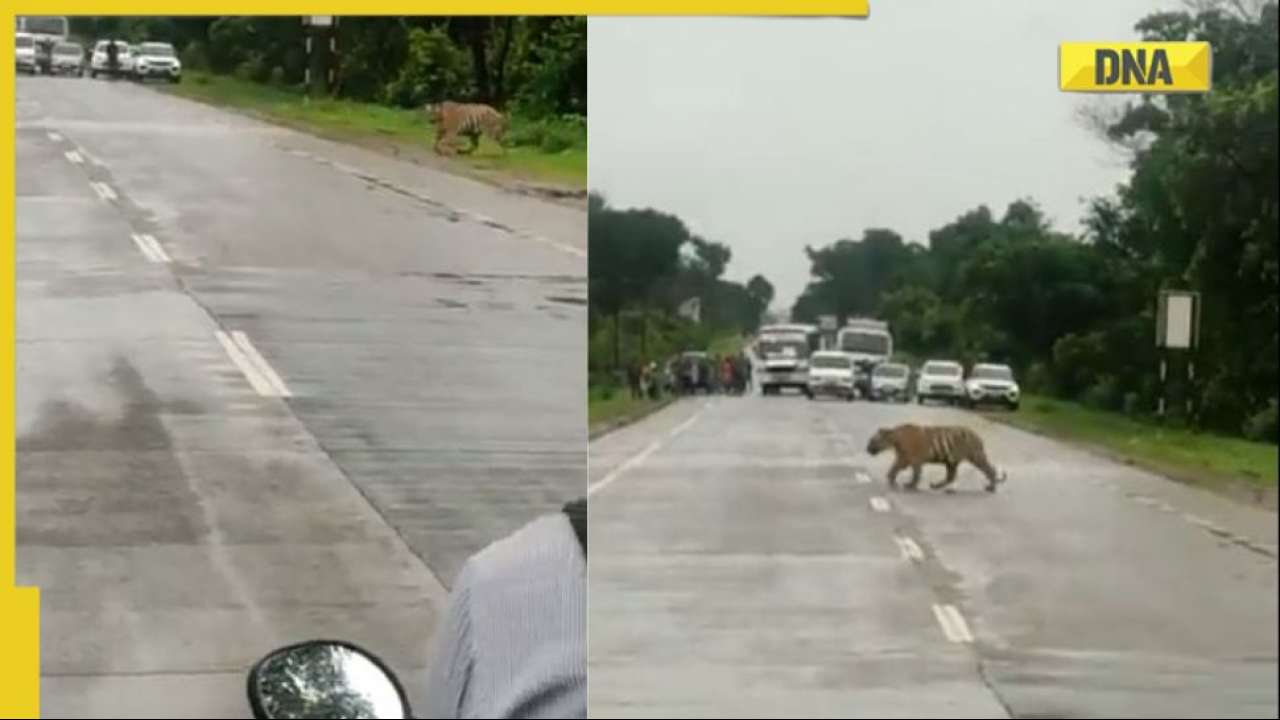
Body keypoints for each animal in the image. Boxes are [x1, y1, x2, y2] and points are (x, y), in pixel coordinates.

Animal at [865, 424, 1008, 493]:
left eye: (872, 440)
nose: (867, 449)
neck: (894, 439)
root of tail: (978, 436)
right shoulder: (904, 457)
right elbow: (895, 468)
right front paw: (892, 479)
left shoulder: (910, 458)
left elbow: (909, 472)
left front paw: (909, 485)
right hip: (951, 461)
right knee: (950, 477)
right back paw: (937, 486)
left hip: (975, 456)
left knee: (990, 470)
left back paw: (991, 487)